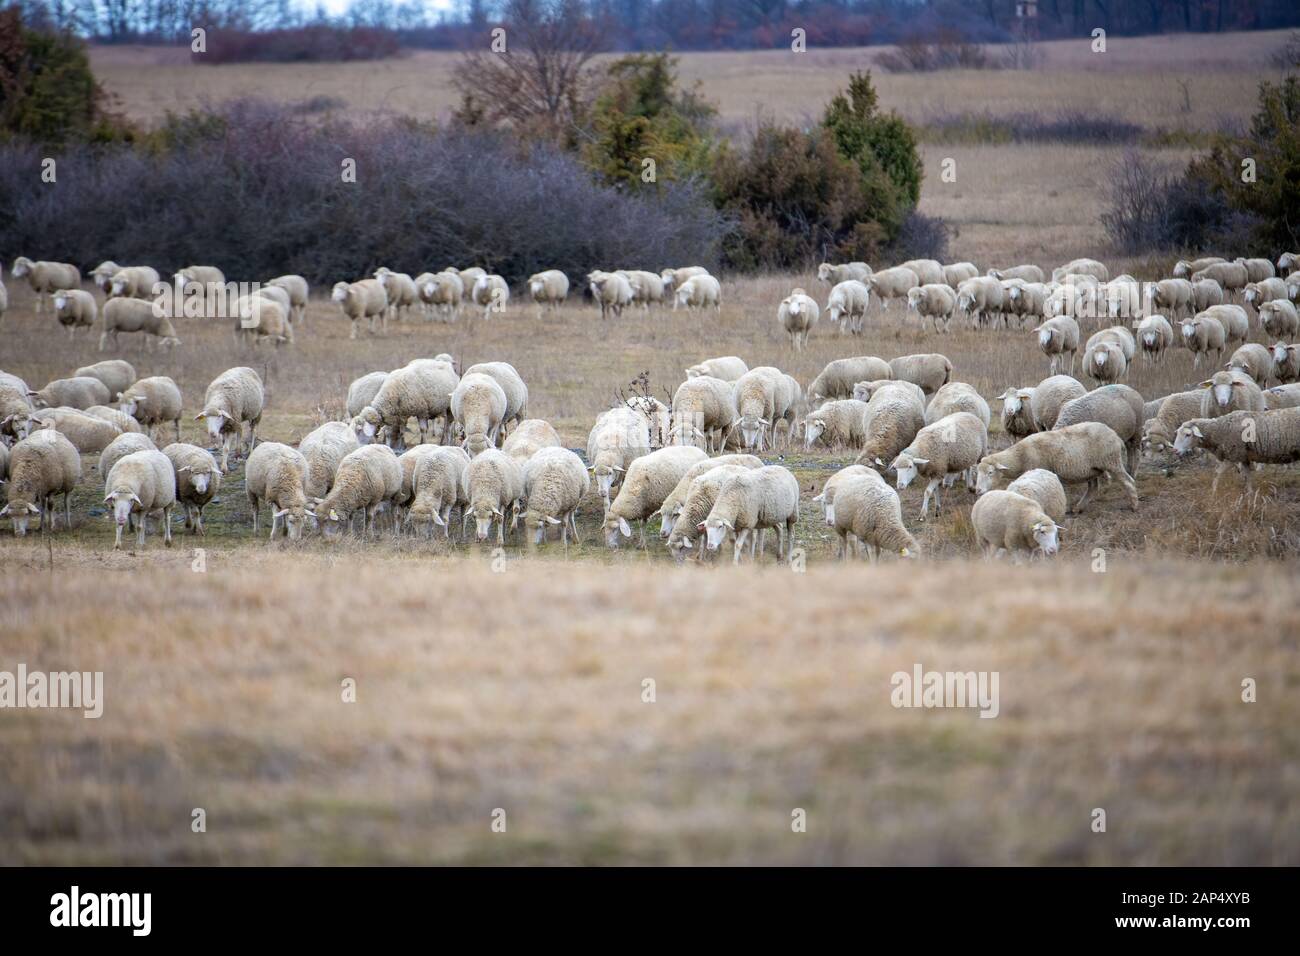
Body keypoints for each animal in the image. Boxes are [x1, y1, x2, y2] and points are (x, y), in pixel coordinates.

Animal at [975, 422, 1138, 513]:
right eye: (977, 473)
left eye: (990, 472)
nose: (978, 490)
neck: (1020, 455)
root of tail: (1115, 435)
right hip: (1092, 469)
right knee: (1093, 487)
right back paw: (1078, 508)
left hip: (1111, 461)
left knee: (1128, 482)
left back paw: (1134, 505)